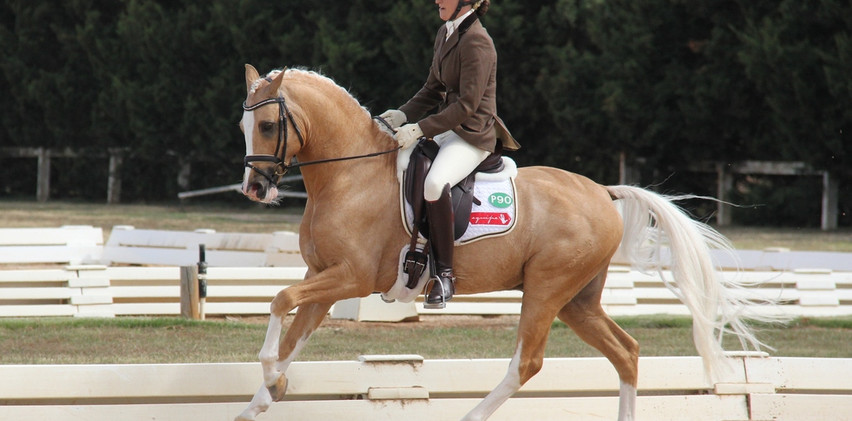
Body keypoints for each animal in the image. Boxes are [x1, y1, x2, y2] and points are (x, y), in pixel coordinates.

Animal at [235, 64, 771, 421]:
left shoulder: (351, 277)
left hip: (547, 289)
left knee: (527, 362)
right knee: (626, 352)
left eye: (267, 125)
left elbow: (279, 302)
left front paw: (271, 379)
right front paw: (267, 393)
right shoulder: (322, 277)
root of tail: (601, 190)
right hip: (577, 300)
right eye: (243, 125)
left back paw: (471, 417)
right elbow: (292, 333)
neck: (350, 175)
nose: (255, 189)